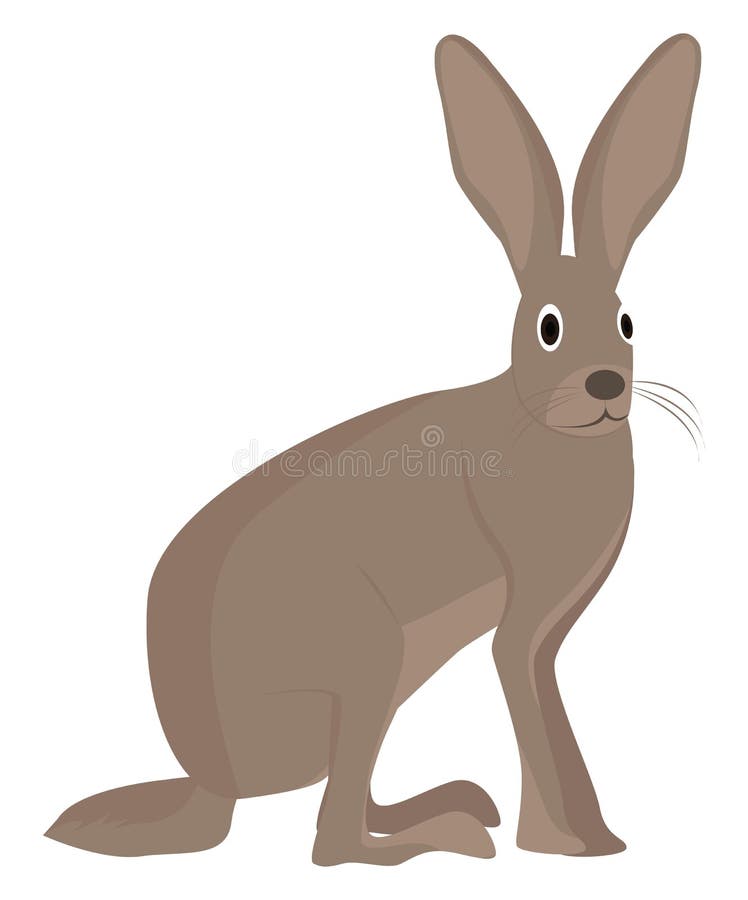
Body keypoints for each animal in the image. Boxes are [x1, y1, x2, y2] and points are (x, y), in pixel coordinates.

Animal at [46, 33, 701, 865]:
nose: (606, 384)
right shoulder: (522, 628)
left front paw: (584, 838)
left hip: (382, 686)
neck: (537, 421)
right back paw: (439, 839)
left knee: (349, 800)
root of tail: (215, 780)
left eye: (627, 322)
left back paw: (447, 802)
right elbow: (534, 708)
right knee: (332, 843)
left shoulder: (547, 632)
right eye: (547, 326)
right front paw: (575, 847)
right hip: (367, 658)